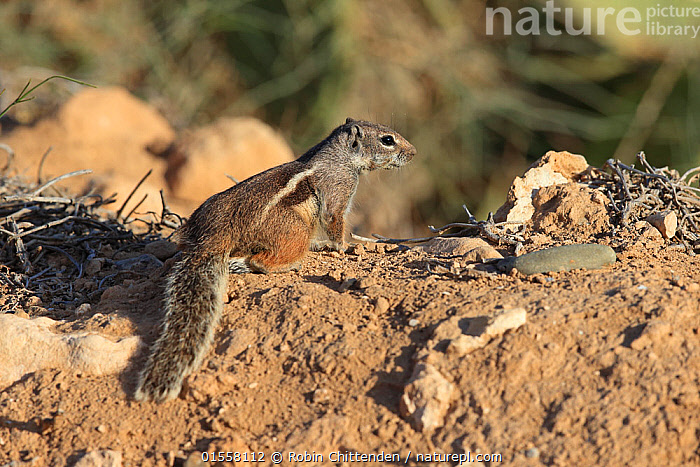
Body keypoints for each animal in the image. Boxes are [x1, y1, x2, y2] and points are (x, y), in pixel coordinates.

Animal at [134, 118, 416, 402]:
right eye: (387, 140)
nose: (413, 153)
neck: (340, 155)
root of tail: (211, 240)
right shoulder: (339, 191)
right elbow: (335, 221)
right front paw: (345, 247)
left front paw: (329, 245)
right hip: (295, 231)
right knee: (261, 262)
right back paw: (288, 264)